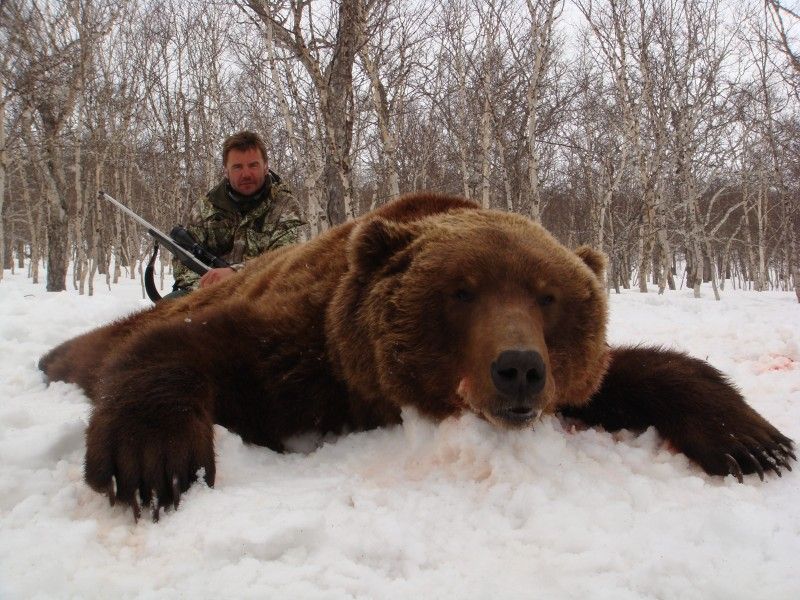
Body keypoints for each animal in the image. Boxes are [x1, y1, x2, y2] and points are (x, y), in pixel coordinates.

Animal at [39, 193, 795, 521]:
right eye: (462, 291)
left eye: (548, 297)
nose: (519, 368)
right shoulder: (307, 348)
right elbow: (187, 347)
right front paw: (153, 463)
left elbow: (632, 371)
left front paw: (754, 441)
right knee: (105, 341)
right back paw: (53, 361)